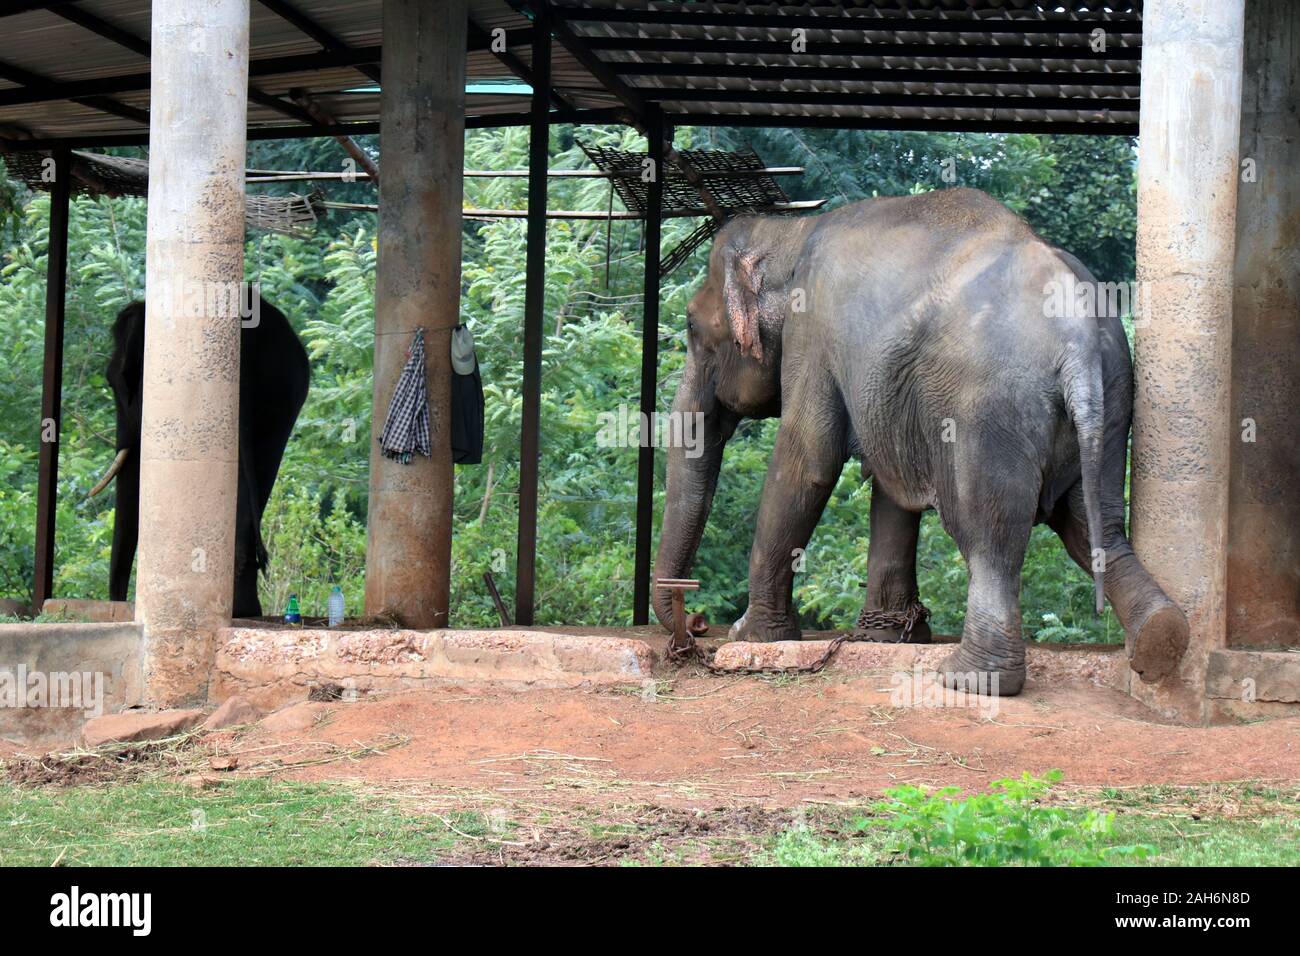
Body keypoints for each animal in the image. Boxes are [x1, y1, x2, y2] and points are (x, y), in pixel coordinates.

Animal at [653, 187, 1189, 696]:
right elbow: (890, 489)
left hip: (990, 412)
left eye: (692, 328)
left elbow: (808, 458)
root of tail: (1077, 334)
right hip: (1113, 400)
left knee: (989, 535)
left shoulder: (813, 335)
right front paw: (888, 638)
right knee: (1093, 523)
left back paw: (969, 678)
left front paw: (750, 636)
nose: (697, 624)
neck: (792, 231)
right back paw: (1160, 639)